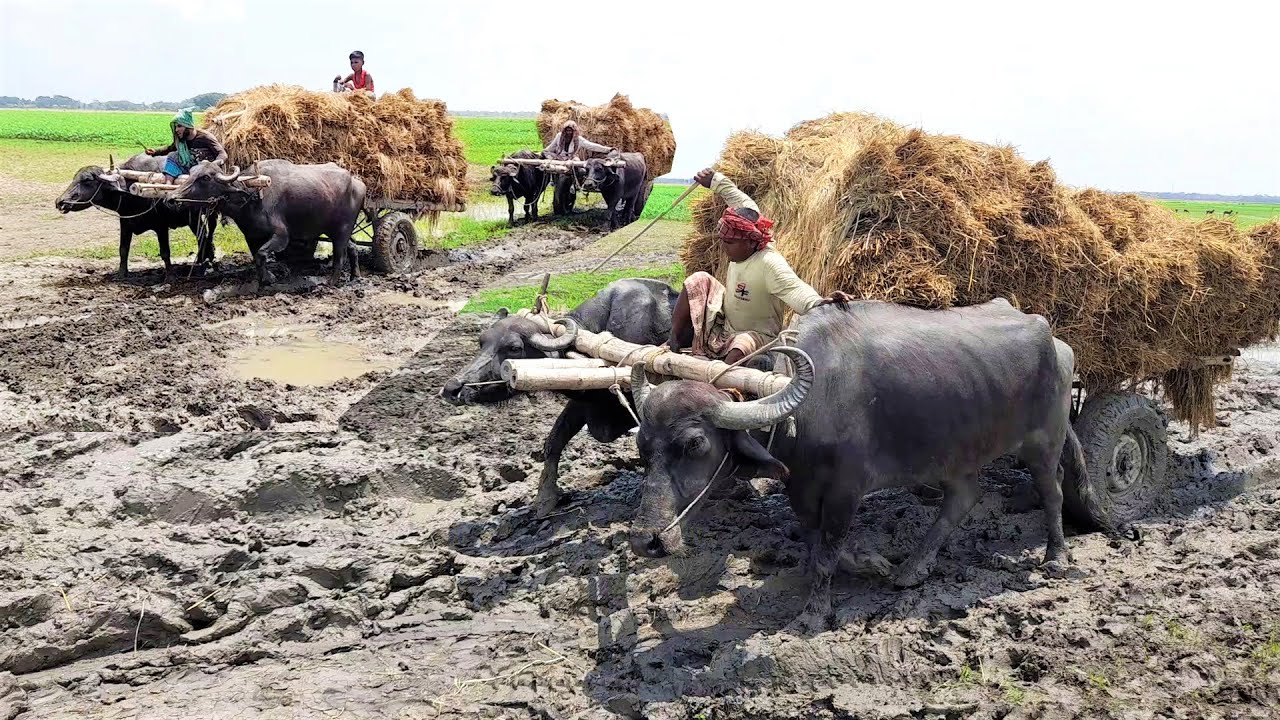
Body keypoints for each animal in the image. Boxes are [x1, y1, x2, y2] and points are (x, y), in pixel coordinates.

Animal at [55, 153, 217, 280]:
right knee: (205, 237)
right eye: (75, 178)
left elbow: (165, 252)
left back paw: (202, 266)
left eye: (87, 180)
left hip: (196, 218)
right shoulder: (125, 223)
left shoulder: (161, 226)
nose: (60, 202)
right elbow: (123, 249)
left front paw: (170, 276)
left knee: (203, 238)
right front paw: (121, 274)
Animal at [168, 159, 365, 287]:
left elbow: (262, 254)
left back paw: (332, 282)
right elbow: (256, 257)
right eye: (191, 173)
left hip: (342, 231)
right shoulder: (251, 236)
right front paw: (264, 279)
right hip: (340, 231)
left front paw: (270, 278)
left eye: (205, 178)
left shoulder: (281, 235)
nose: (171, 199)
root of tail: (358, 183)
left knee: (339, 256)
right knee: (352, 248)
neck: (252, 196)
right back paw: (355, 276)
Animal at [441, 278, 678, 517]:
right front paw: (545, 499)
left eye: (514, 348)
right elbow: (554, 440)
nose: (453, 389)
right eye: (481, 342)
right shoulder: (582, 394)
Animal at [625, 298, 1095, 632]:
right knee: (962, 499)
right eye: (642, 447)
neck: (805, 408)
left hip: (1044, 441)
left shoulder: (845, 491)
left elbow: (828, 551)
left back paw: (1056, 556)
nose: (647, 541)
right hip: (955, 453)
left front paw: (814, 612)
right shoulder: (801, 490)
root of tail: (1057, 343)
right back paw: (912, 568)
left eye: (695, 444)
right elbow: (816, 545)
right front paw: (871, 564)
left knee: (1051, 490)